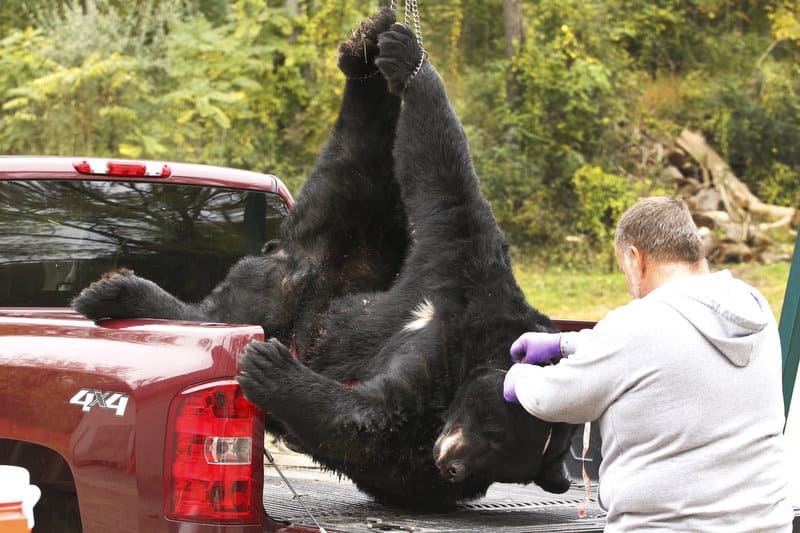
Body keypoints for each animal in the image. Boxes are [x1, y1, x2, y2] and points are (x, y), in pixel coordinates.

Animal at [72, 8, 574, 508]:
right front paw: (411, 60)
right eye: (496, 427)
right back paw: (368, 48)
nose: (451, 463)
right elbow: (444, 181)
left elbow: (371, 425)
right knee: (359, 163)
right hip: (345, 246)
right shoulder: (465, 281)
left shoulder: (427, 407)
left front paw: (270, 367)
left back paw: (121, 295)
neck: (468, 359)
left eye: (505, 460)